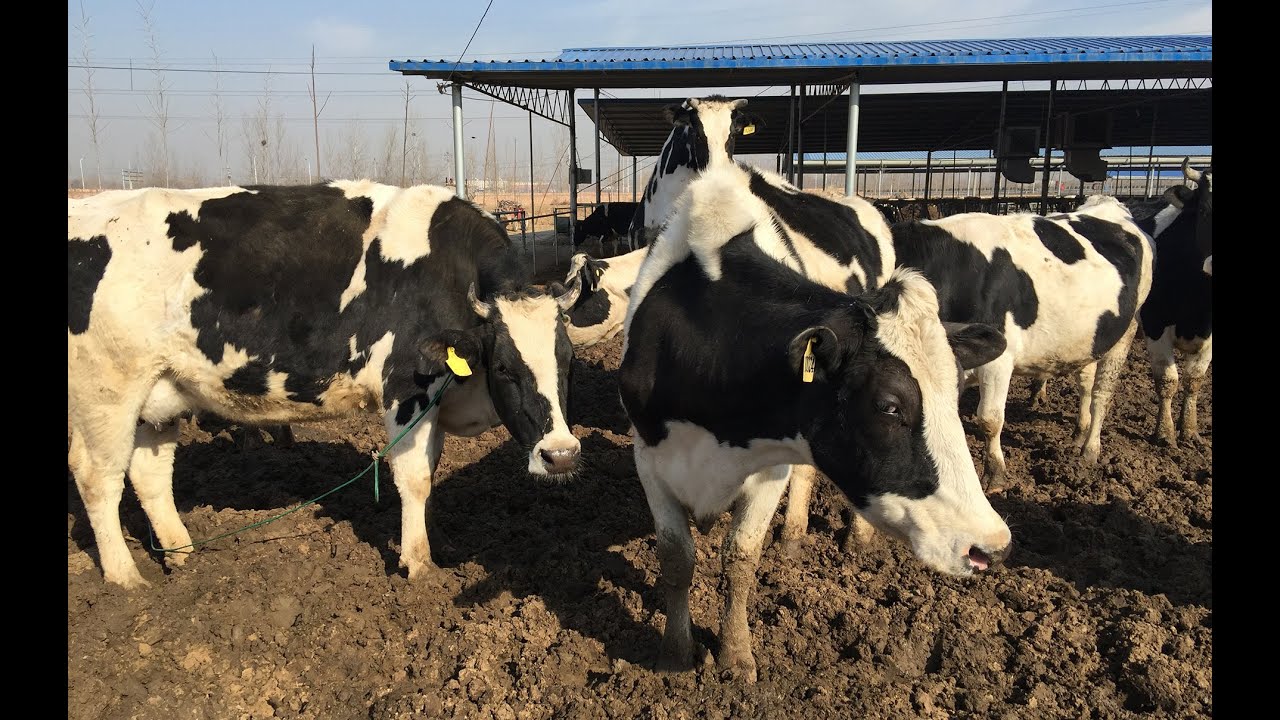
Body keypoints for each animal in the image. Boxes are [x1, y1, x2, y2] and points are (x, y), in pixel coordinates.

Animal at [68, 180, 582, 589]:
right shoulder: (405, 390)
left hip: (159, 394)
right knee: (98, 477)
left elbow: (430, 474)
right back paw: (125, 578)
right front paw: (418, 564)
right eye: (504, 368)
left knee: (149, 473)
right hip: (107, 393)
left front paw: (439, 543)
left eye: (568, 362)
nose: (561, 455)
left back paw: (181, 554)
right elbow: (414, 477)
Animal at [619, 163, 1012, 681]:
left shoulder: (772, 464)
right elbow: (676, 559)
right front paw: (675, 653)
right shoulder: (649, 457)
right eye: (889, 405)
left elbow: (741, 556)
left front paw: (736, 655)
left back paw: (828, 536)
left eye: (956, 391)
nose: (991, 545)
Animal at [1135, 158, 1213, 447]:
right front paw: (1165, 433)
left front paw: (1189, 429)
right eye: (1204, 210)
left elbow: (1194, 380)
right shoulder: (1155, 324)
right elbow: (1168, 380)